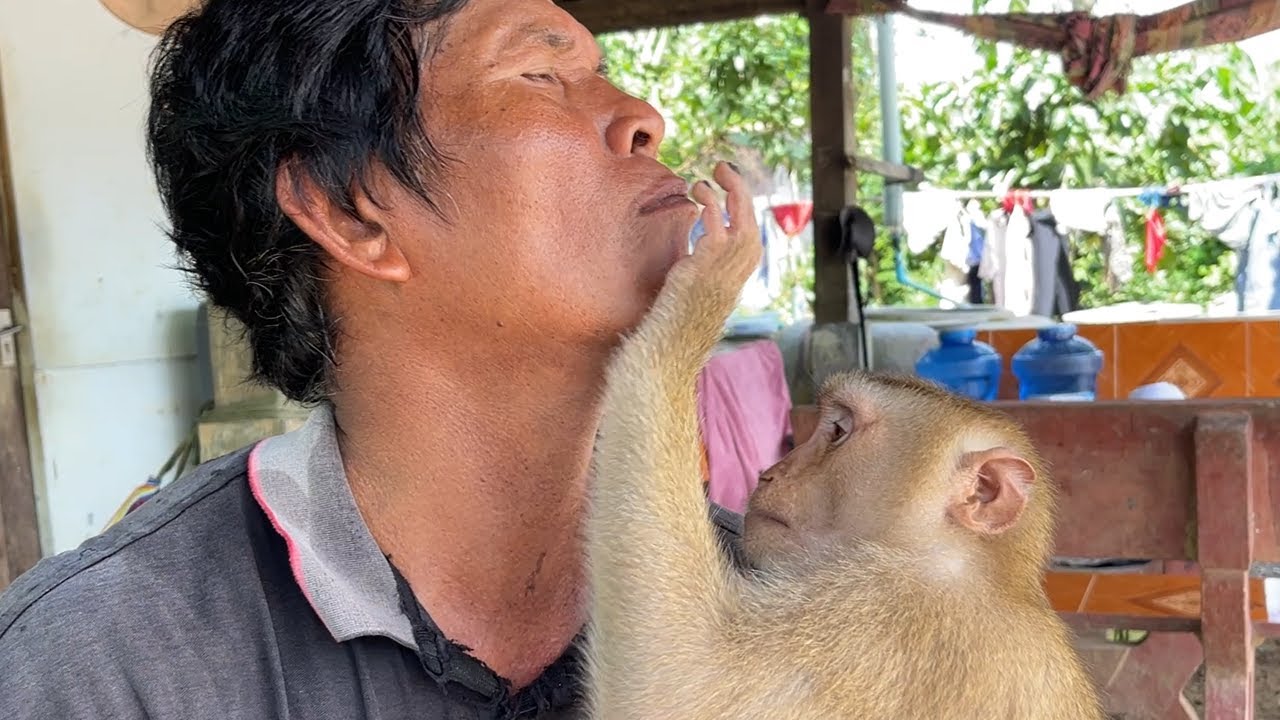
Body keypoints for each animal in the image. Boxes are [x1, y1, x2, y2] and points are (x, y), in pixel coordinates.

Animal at [581, 161, 1106, 720]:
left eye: (837, 432)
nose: (770, 472)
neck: (986, 571)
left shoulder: (891, 614)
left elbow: (681, 681)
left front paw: (705, 286)